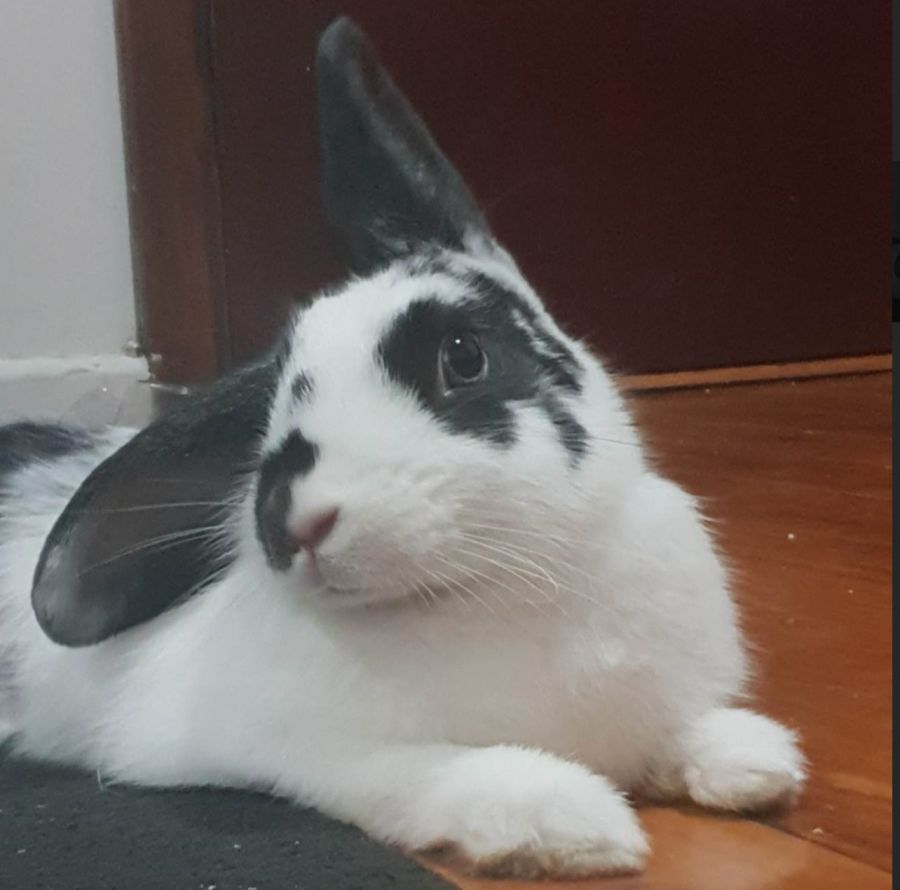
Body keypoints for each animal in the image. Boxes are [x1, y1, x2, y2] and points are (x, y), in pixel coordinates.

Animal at [0, 17, 804, 880]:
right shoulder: (300, 753)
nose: (295, 521)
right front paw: (575, 823)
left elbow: (674, 731)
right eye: (270, 408)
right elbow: (428, 774)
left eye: (463, 356)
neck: (503, 580)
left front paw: (752, 758)